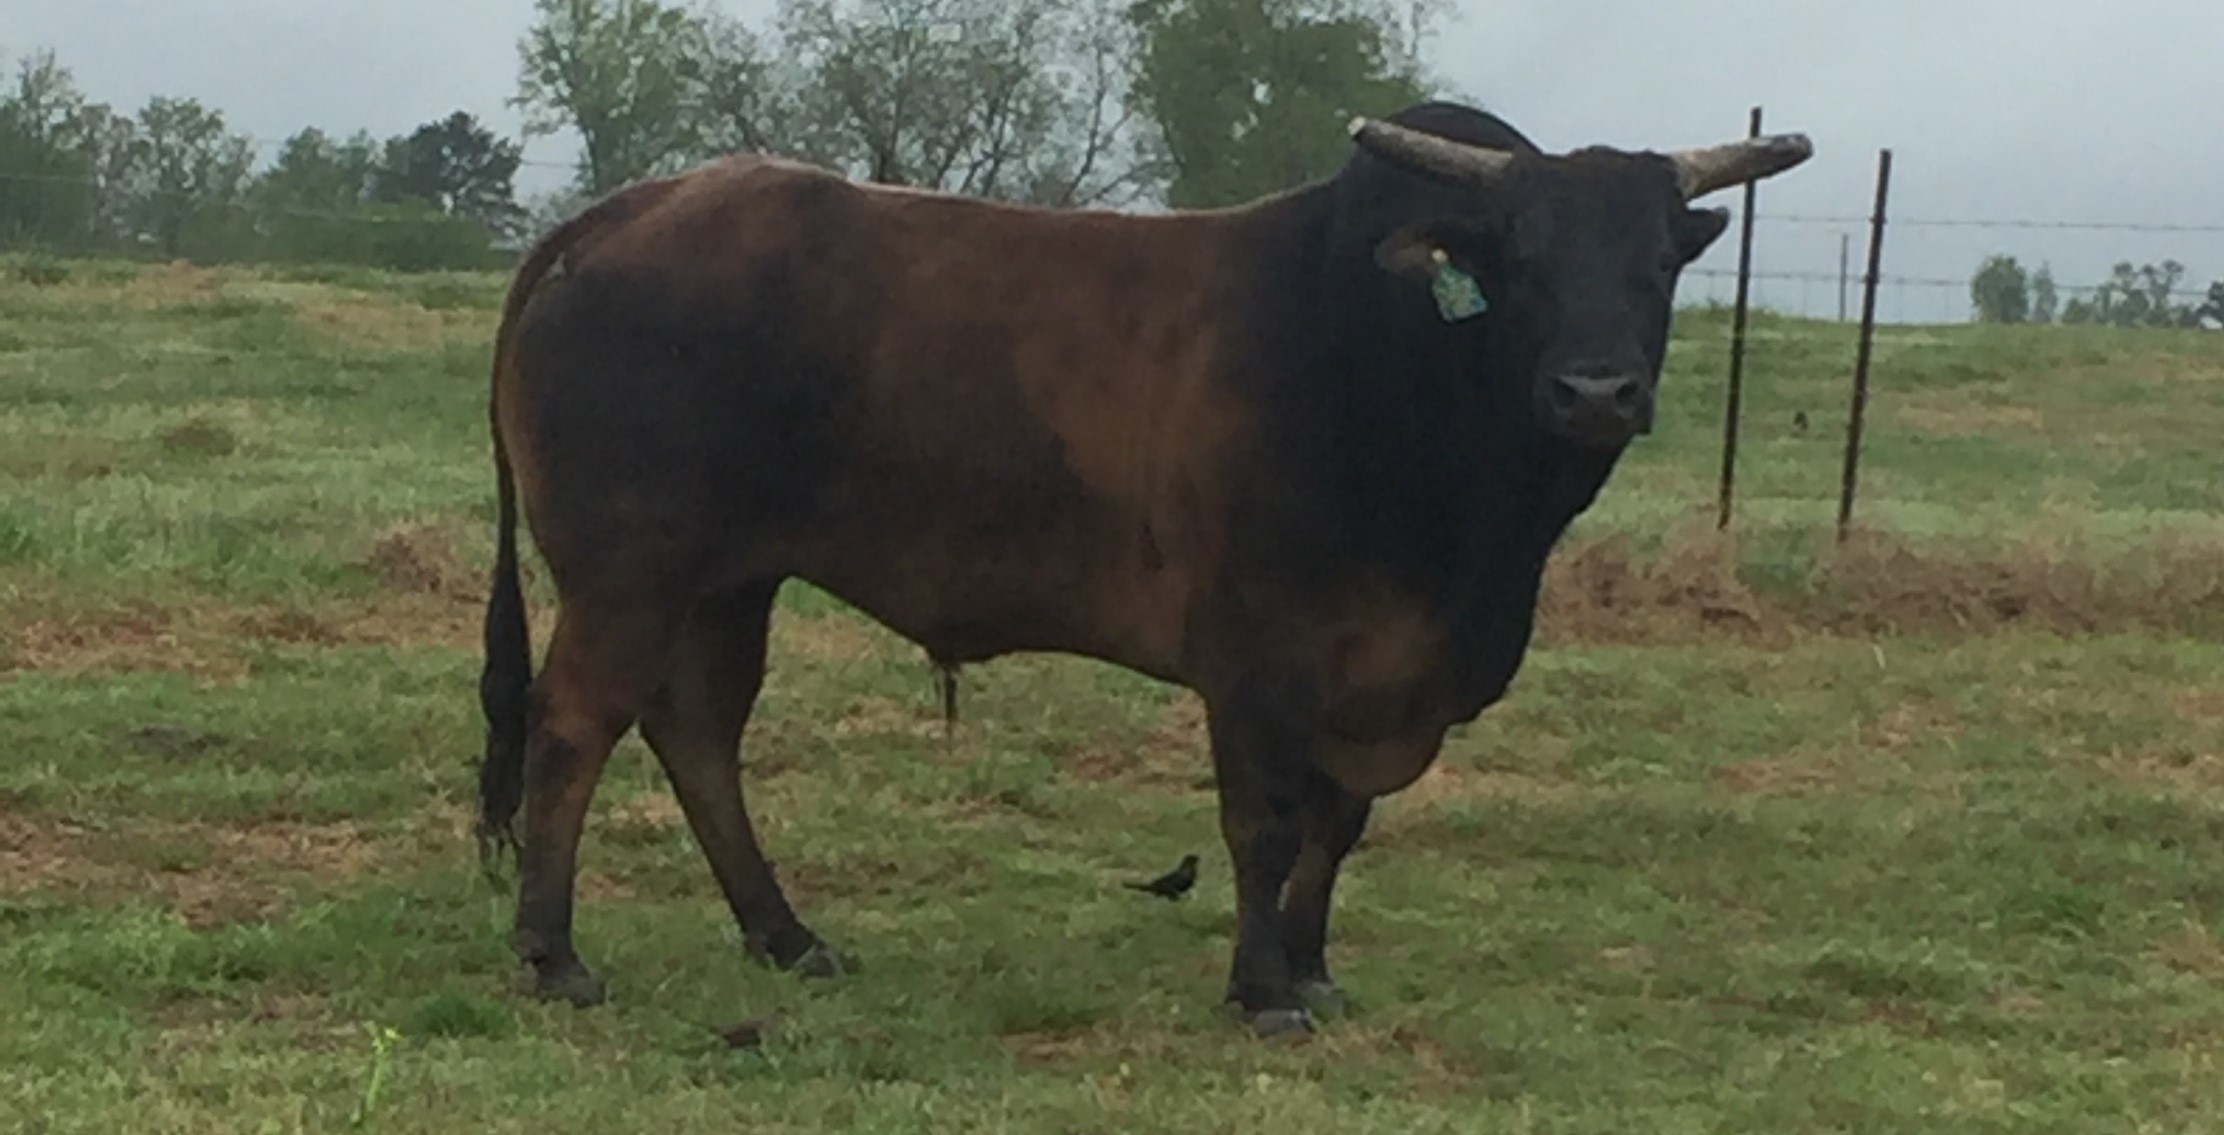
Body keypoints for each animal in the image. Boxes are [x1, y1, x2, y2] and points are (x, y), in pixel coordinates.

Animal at [472, 100, 1813, 1037]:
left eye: (1658, 261)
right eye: (1518, 256)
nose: (1596, 391)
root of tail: (621, 216)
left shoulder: (1377, 672)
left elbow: (1339, 824)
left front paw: (1314, 968)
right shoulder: (1257, 652)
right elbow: (1265, 824)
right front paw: (1262, 987)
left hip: (726, 583)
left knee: (697, 730)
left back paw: (785, 932)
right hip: (630, 574)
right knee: (574, 723)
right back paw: (553, 955)